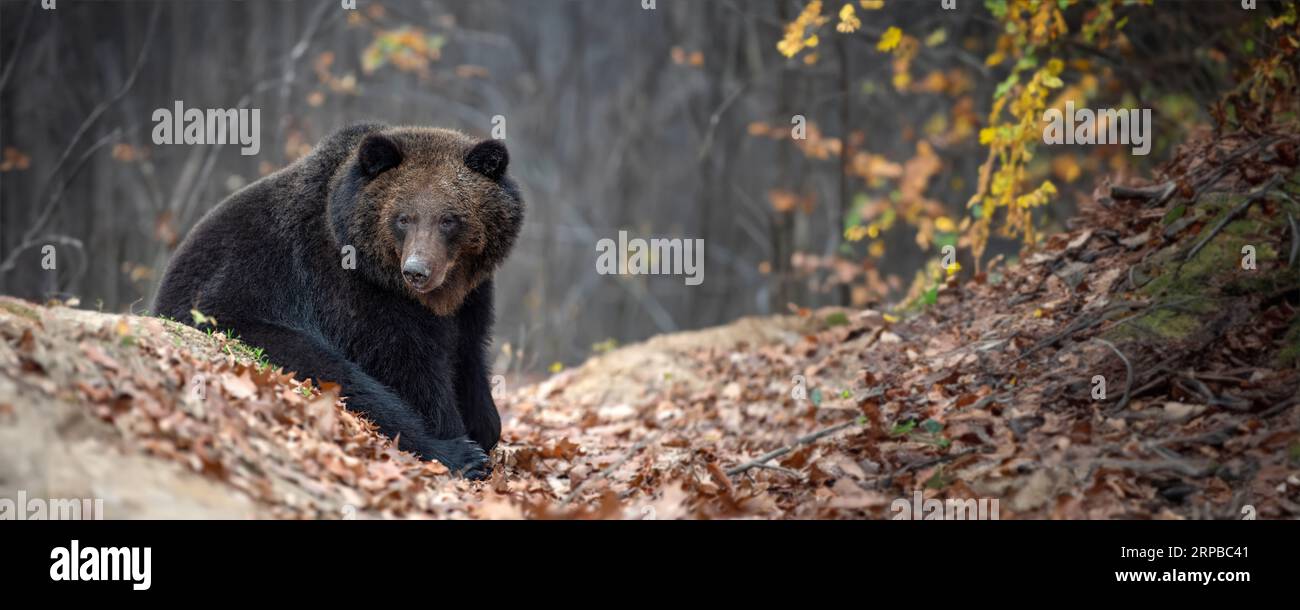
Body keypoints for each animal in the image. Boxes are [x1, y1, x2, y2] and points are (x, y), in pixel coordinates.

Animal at [154, 123, 524, 479]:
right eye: (404, 218)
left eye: (449, 219)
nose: (417, 271)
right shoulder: (349, 291)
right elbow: (408, 367)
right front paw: (459, 439)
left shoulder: (471, 299)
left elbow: (468, 353)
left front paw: (486, 425)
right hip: (237, 316)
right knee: (335, 373)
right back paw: (457, 455)